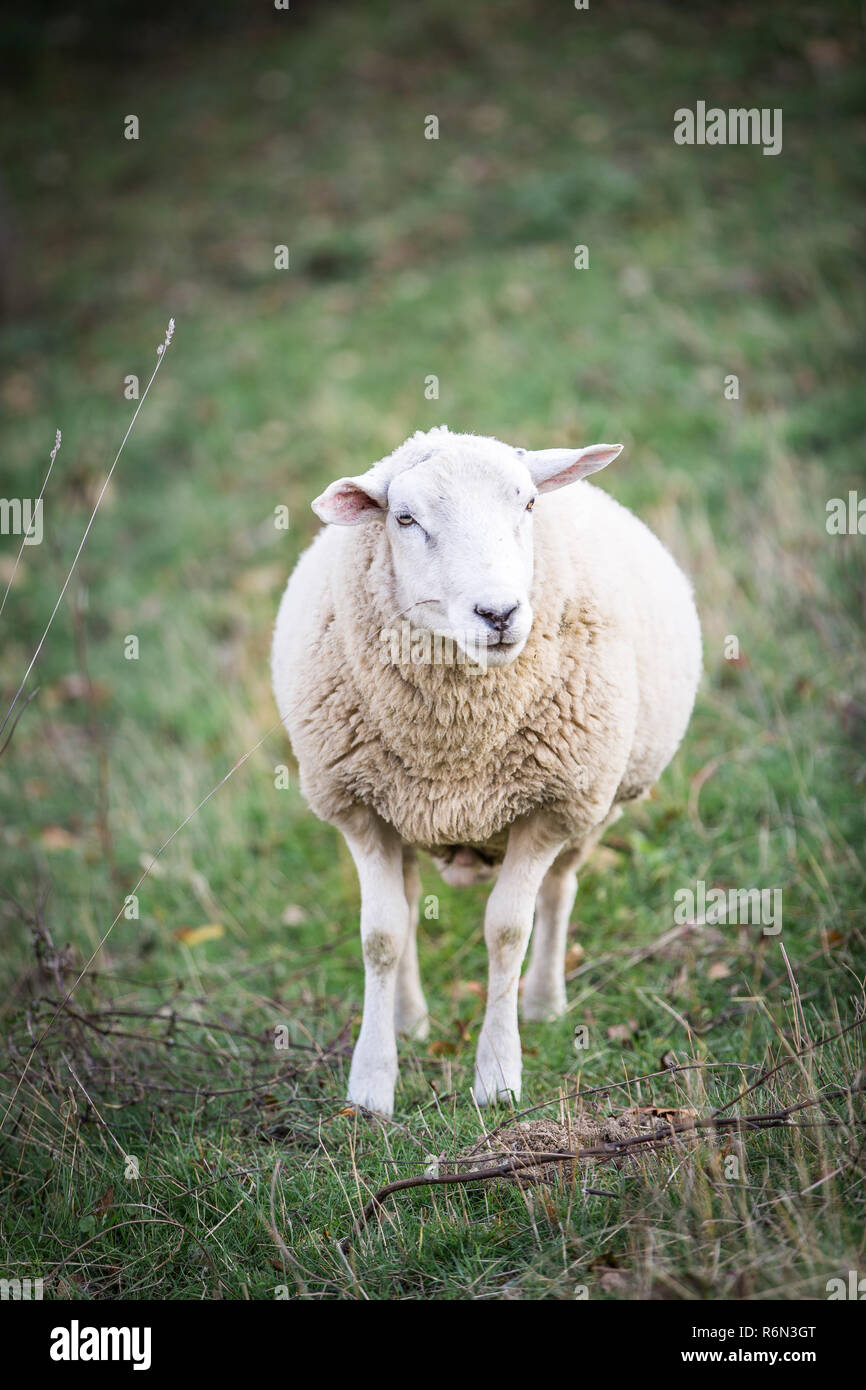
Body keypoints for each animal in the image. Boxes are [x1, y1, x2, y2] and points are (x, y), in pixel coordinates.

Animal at [271, 426, 702, 1116]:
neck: (456, 743)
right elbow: (381, 936)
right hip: (405, 812)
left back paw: (545, 1003)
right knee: (410, 903)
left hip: (592, 806)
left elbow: (507, 931)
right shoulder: (359, 810)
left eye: (527, 503)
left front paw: (498, 1076)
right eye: (404, 517)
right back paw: (410, 1019)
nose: (498, 614)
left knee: (559, 891)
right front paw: (371, 1086)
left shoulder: (551, 807)